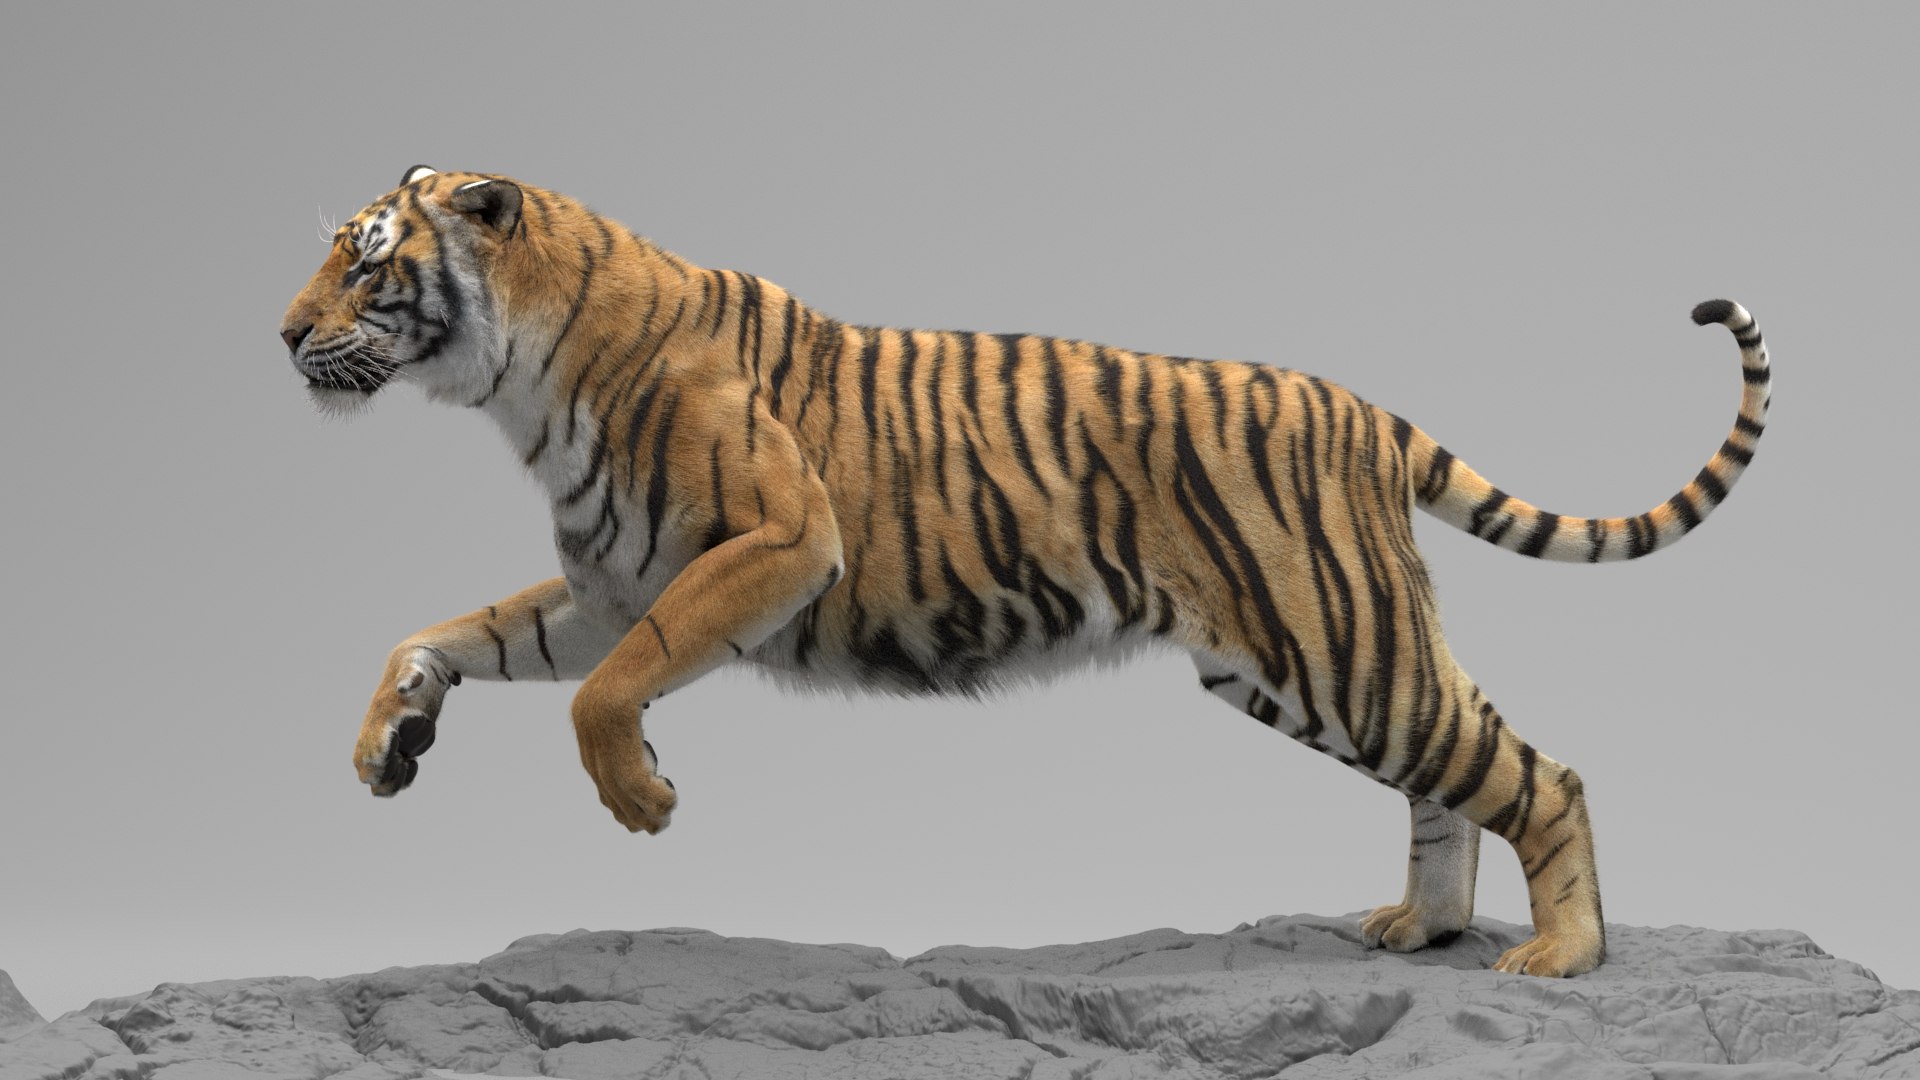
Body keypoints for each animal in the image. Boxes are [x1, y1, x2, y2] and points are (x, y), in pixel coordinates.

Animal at [280, 166, 1769, 978]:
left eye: (365, 266)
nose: (282, 333)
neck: (518, 383)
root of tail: (1366, 411)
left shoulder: (776, 541)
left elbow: (607, 693)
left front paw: (641, 800)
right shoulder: (613, 587)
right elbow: (456, 631)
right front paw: (388, 740)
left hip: (1340, 651)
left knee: (1538, 775)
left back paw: (1560, 955)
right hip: (1332, 659)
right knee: (1451, 778)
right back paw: (1423, 928)